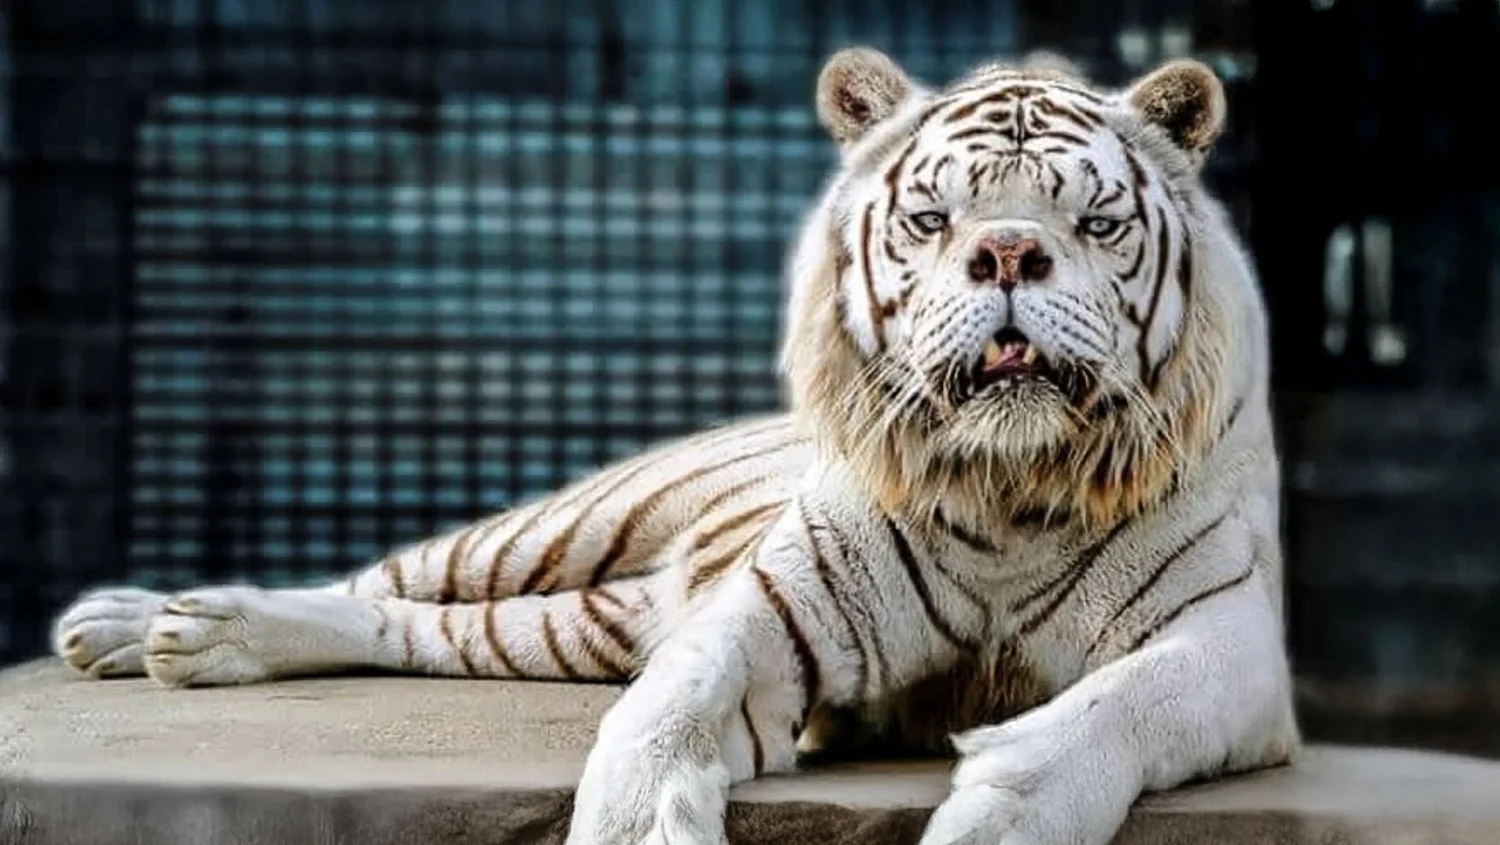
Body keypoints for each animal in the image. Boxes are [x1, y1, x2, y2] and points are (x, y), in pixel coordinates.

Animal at [50, 46, 1299, 845]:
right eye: (932, 218)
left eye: (1095, 221)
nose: (1005, 254)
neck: (1008, 485)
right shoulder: (775, 606)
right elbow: (664, 717)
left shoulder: (1227, 641)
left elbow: (1109, 710)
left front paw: (998, 817)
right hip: (556, 528)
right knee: (380, 581)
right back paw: (152, 623)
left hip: (579, 621)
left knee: (421, 630)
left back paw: (172, 636)